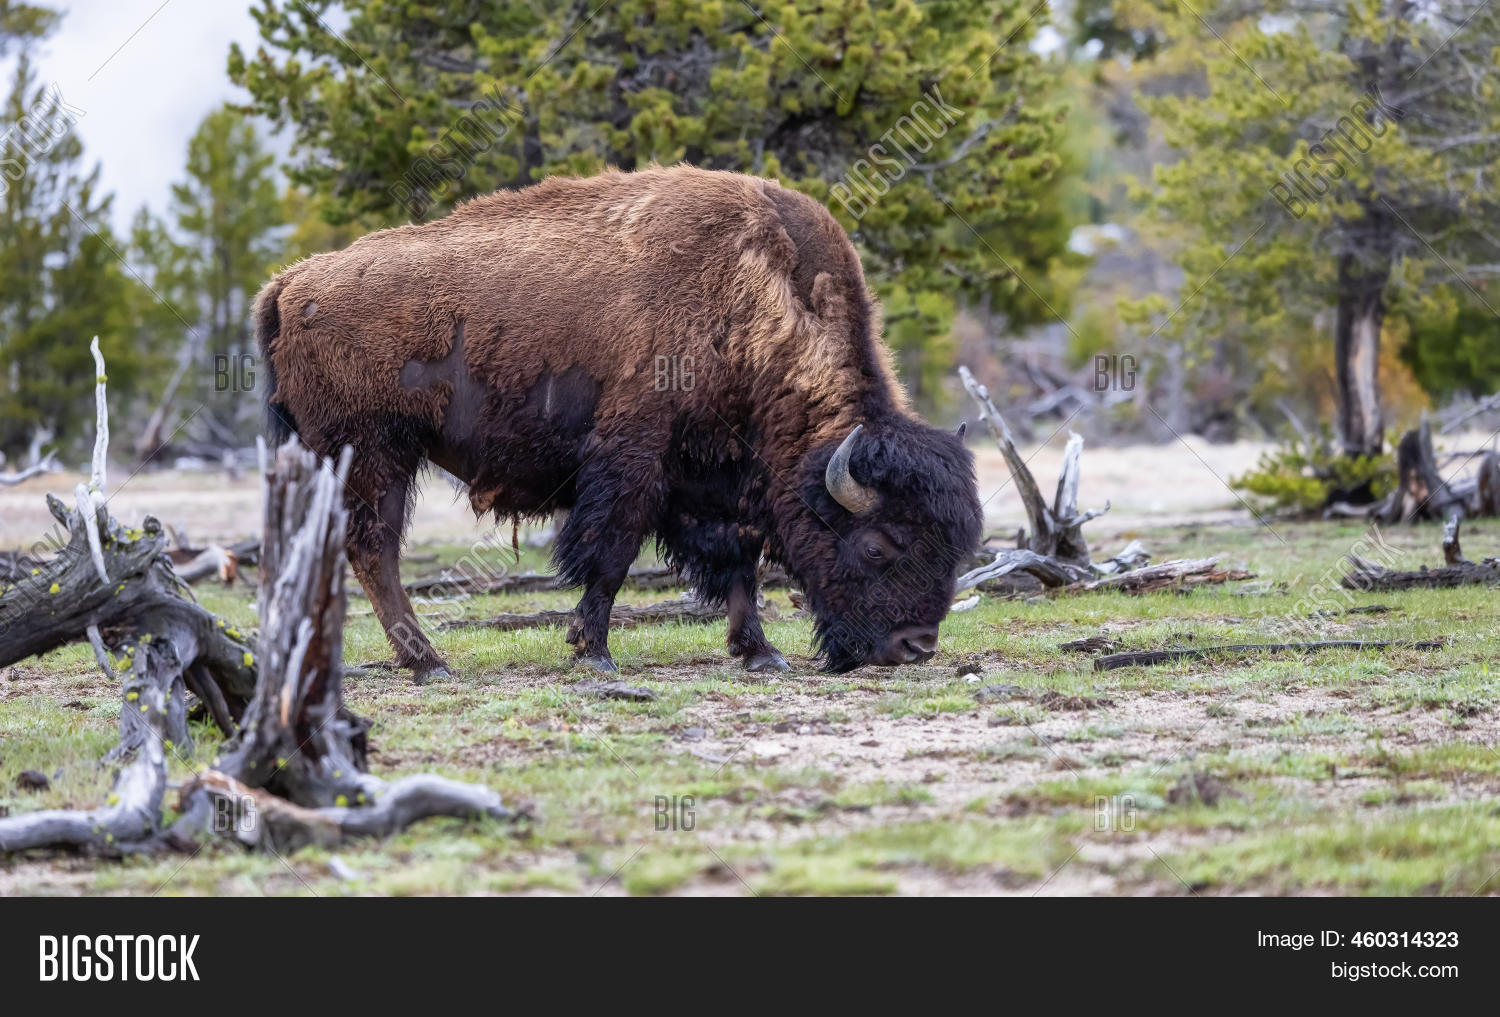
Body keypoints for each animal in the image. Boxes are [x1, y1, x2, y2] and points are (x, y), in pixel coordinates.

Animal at [254, 166, 981, 678]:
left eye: (957, 546)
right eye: (879, 545)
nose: (914, 646)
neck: (754, 296)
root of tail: (291, 284)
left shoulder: (723, 475)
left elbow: (740, 562)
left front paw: (759, 652)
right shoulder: (633, 458)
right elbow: (611, 553)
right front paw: (594, 651)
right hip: (375, 452)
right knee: (373, 548)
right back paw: (429, 662)